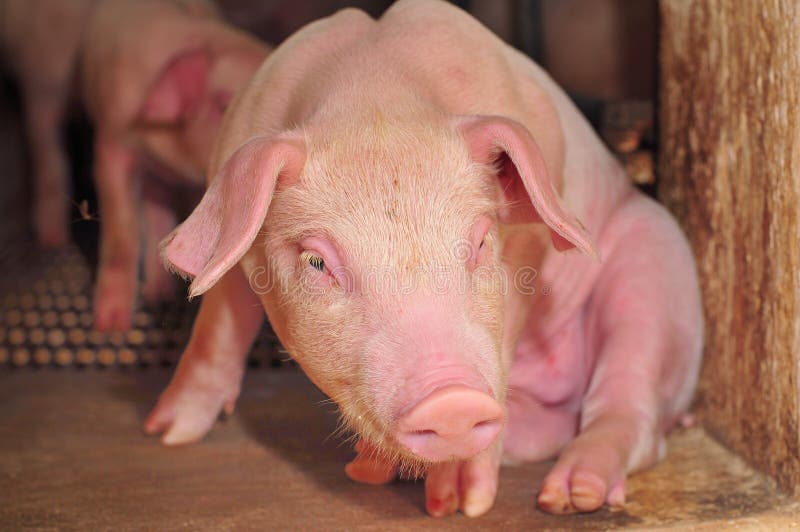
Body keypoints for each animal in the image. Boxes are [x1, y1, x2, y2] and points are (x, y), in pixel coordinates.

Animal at [144, 0, 703, 518]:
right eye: (317, 263)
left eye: (481, 242)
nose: (452, 399)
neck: (374, 94)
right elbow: (217, 328)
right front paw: (166, 435)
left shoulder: (531, 249)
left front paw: (461, 505)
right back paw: (368, 468)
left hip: (658, 267)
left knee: (632, 409)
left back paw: (567, 496)